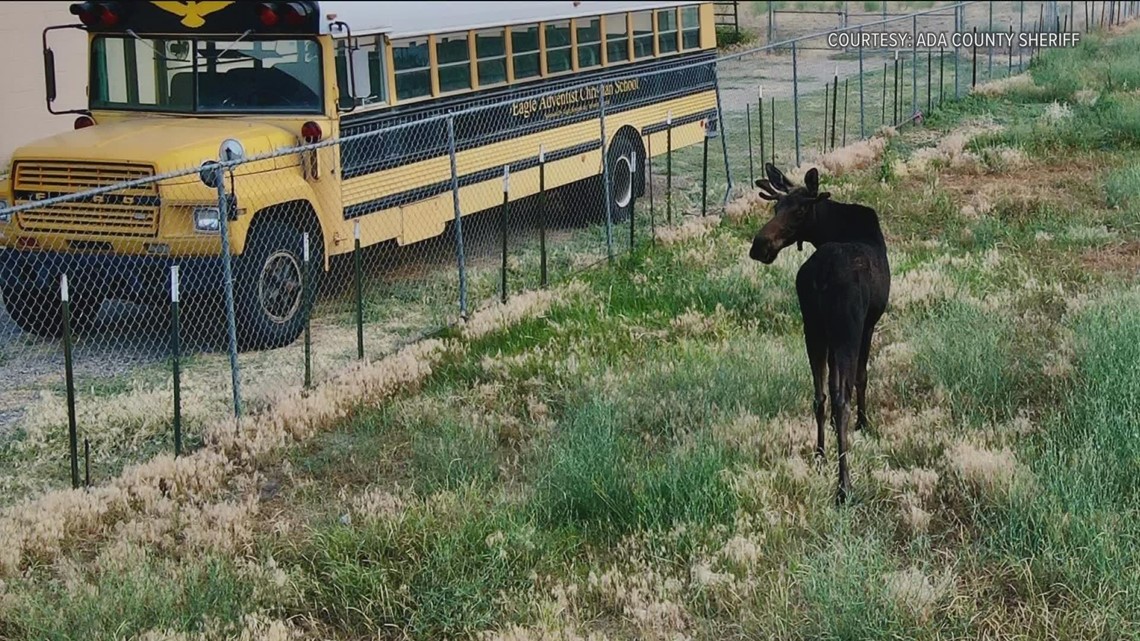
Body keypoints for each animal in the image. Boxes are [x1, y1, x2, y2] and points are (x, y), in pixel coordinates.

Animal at [749, 163, 891, 505]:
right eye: (776, 207)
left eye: (799, 210)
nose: (759, 245)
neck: (831, 229)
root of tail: (822, 275)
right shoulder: (867, 324)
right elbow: (861, 378)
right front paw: (865, 424)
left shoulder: (827, 334)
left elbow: (830, 382)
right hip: (845, 328)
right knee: (841, 398)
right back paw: (844, 486)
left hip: (812, 327)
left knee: (819, 395)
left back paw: (819, 455)